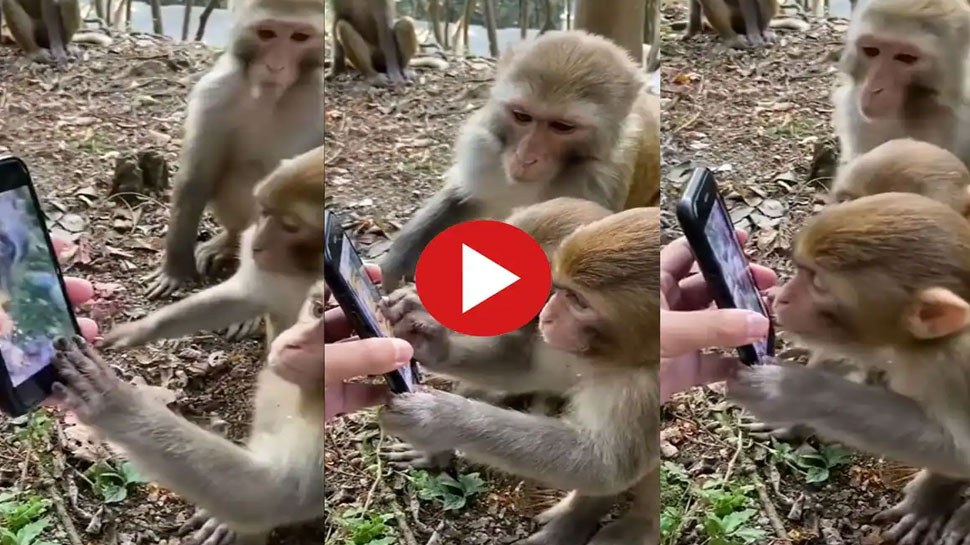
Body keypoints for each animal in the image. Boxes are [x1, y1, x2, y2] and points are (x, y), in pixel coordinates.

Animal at [143, 0, 324, 304]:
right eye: (266, 33)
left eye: (299, 37)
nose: (275, 66)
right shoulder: (215, 91)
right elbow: (198, 177)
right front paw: (175, 268)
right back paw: (228, 242)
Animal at [379, 30, 661, 291]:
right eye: (522, 116)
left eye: (563, 126)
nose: (525, 157)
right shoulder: (486, 151)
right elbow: (463, 200)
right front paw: (395, 268)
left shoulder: (599, 180)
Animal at [382, 206, 660, 545]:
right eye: (561, 290)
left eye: (578, 300)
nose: (549, 315)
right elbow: (526, 365)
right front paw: (425, 338)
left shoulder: (640, 389)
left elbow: (604, 465)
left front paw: (435, 419)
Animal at [727, 192, 970, 545]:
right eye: (801, 271)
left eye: (817, 282)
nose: (780, 298)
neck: (923, 345)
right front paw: (795, 422)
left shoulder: (956, 366)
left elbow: (959, 450)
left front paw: (793, 393)